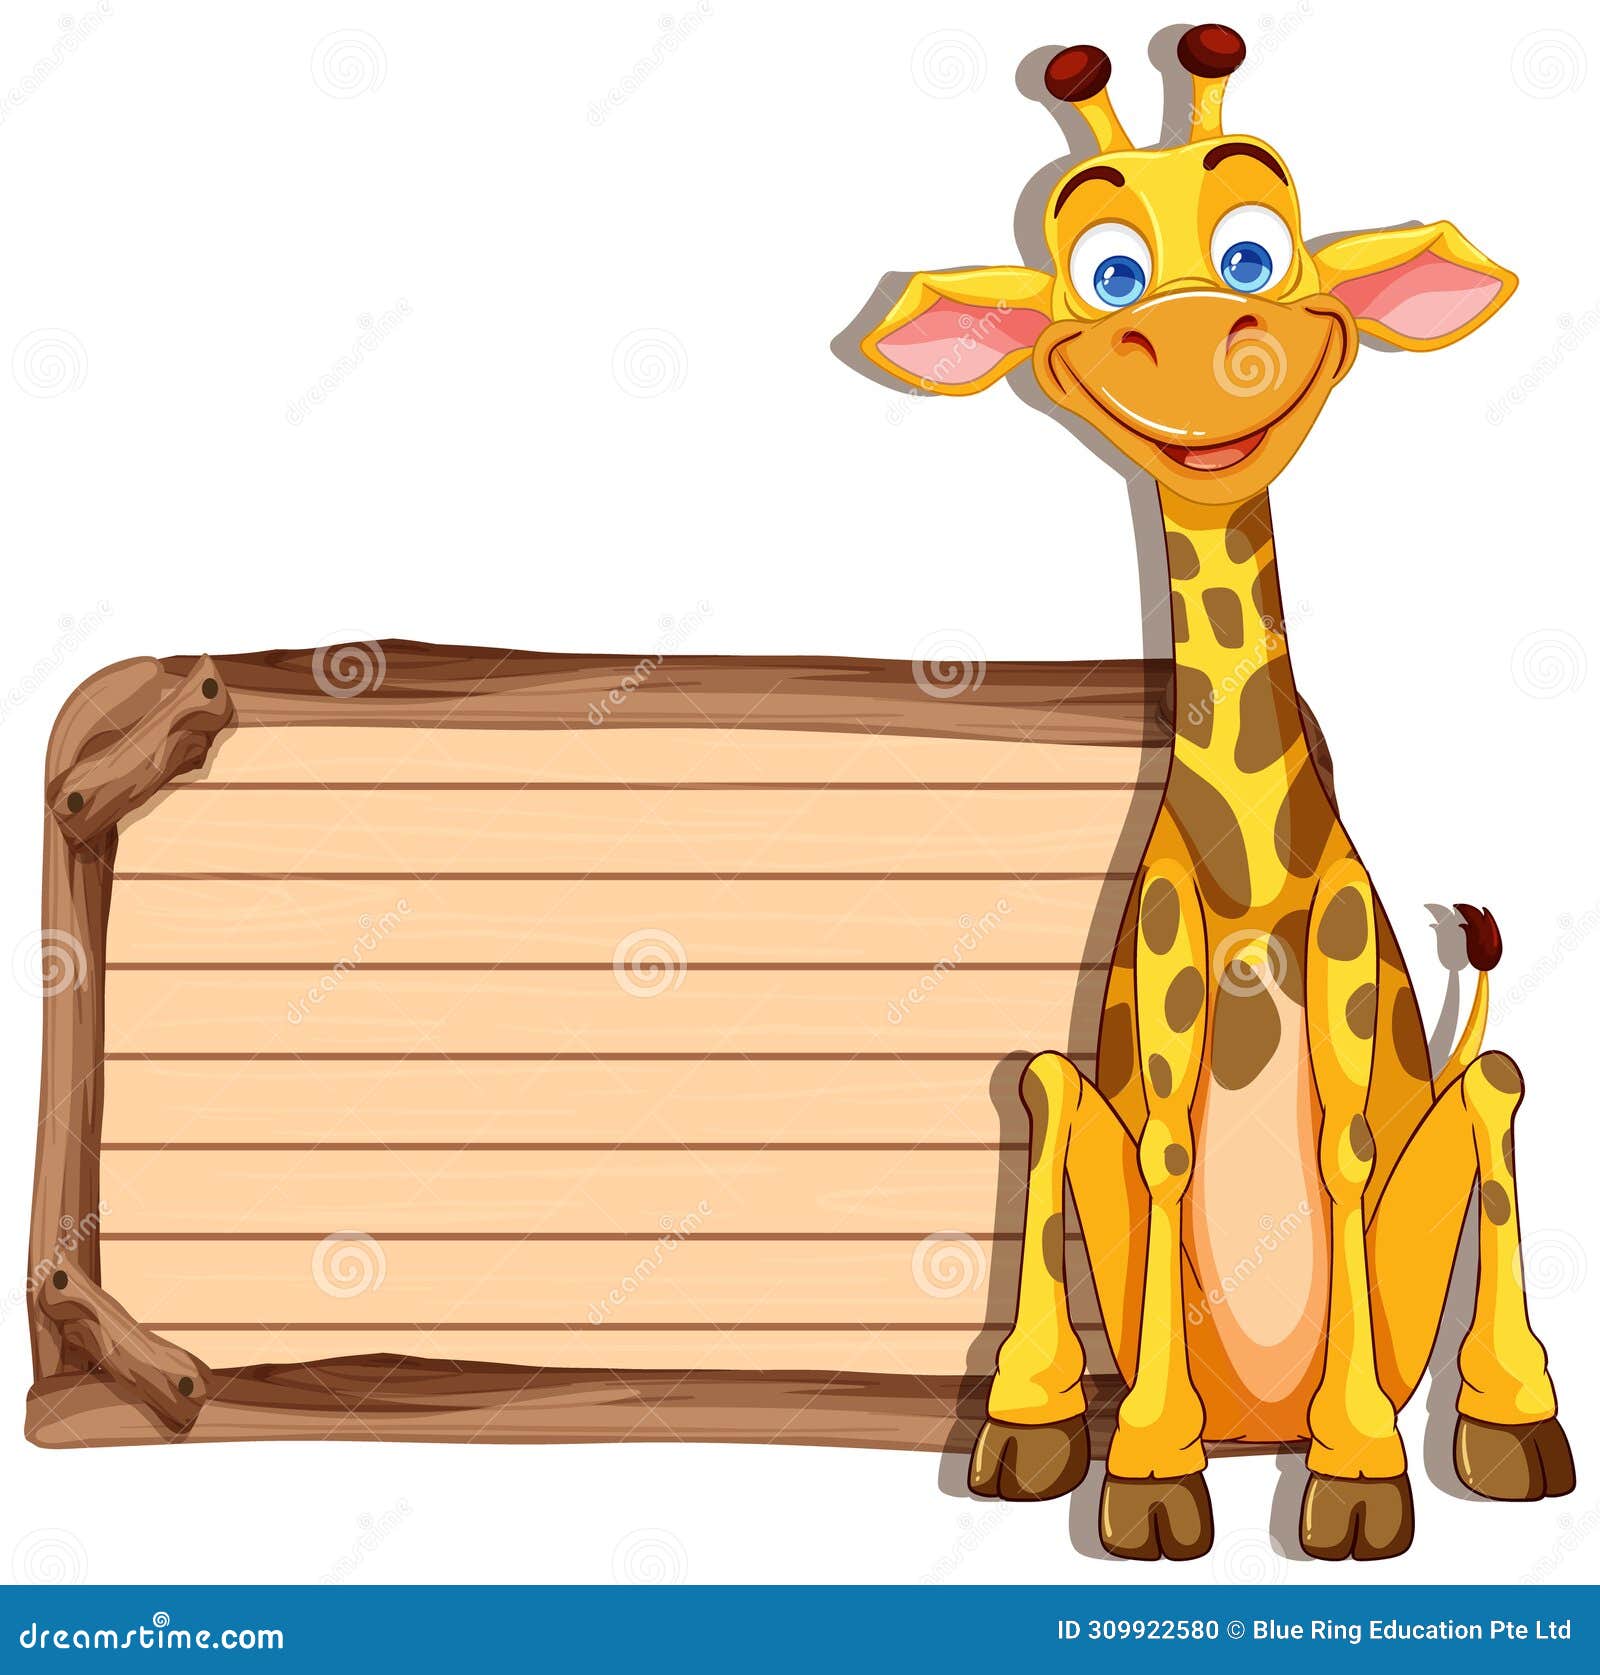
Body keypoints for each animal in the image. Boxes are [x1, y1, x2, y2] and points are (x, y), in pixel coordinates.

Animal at [858, 24, 1573, 1561]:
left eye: (1259, 250)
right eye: (1107, 272)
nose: (1205, 349)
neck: (1254, 872)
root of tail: (1262, 1427)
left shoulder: (1351, 958)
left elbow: (1348, 1150)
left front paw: (1363, 1473)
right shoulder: (1165, 970)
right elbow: (1170, 1147)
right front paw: (1142, 1464)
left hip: (1456, 1133)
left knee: (1491, 1078)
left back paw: (1503, 1426)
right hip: (1071, 1104)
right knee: (1047, 1082)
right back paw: (1033, 1421)